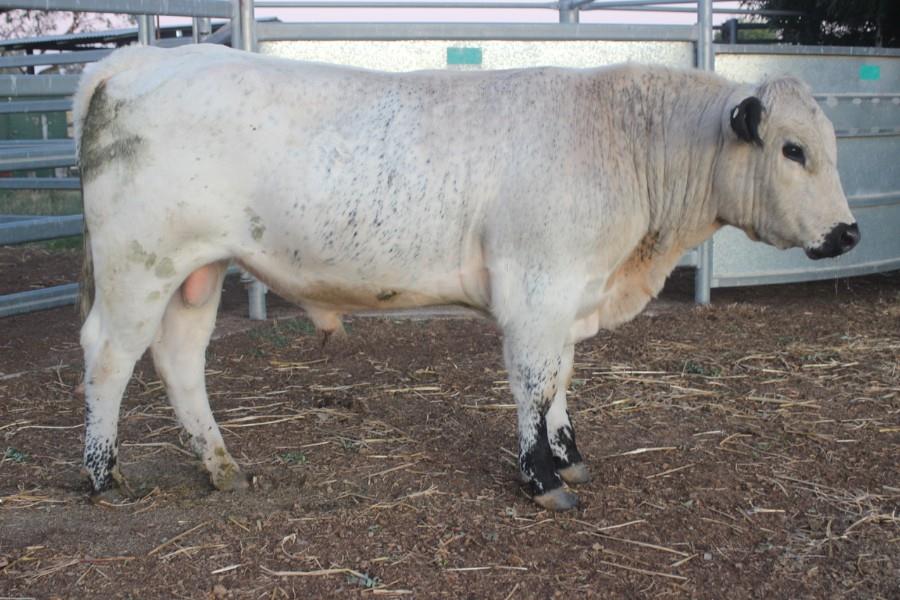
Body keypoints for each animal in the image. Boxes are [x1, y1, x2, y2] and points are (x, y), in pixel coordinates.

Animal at [75, 44, 859, 511]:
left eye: (830, 144)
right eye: (793, 149)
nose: (848, 233)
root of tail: (138, 58)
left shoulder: (565, 296)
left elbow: (561, 381)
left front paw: (569, 458)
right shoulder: (536, 290)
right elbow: (535, 385)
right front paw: (541, 480)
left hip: (195, 271)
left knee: (180, 359)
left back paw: (221, 465)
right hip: (137, 263)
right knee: (109, 357)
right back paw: (100, 472)